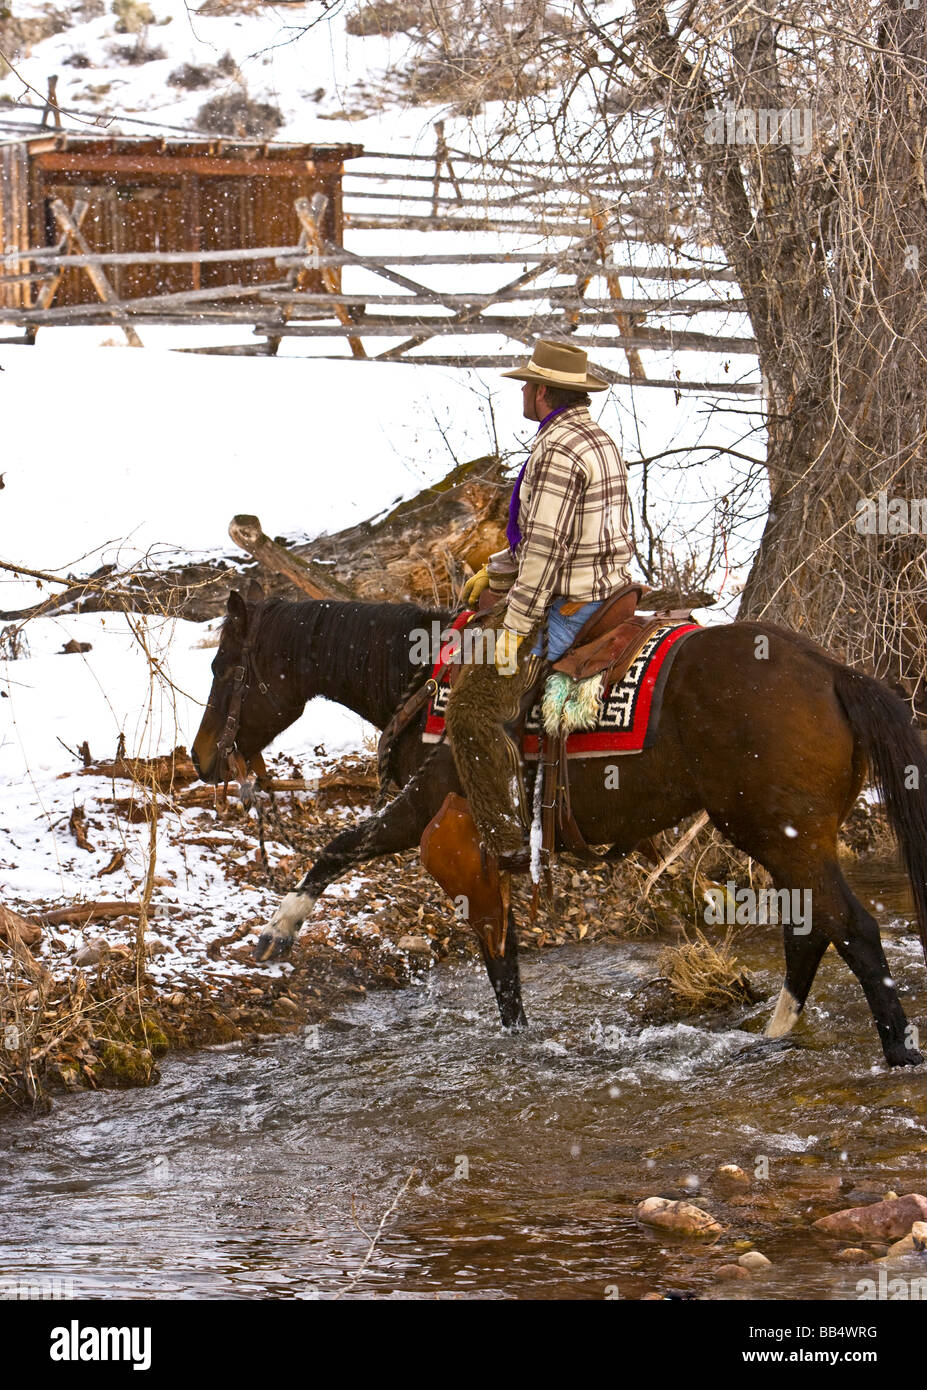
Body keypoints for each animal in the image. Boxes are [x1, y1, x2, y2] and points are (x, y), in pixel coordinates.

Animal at [191, 588, 927, 1068]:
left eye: (222, 667)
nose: (201, 760)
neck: (426, 680)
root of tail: (831, 671)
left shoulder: (430, 815)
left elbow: (341, 848)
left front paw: (276, 931)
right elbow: (503, 957)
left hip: (781, 834)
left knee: (853, 930)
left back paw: (897, 1052)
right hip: (782, 837)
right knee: (812, 929)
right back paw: (772, 1034)